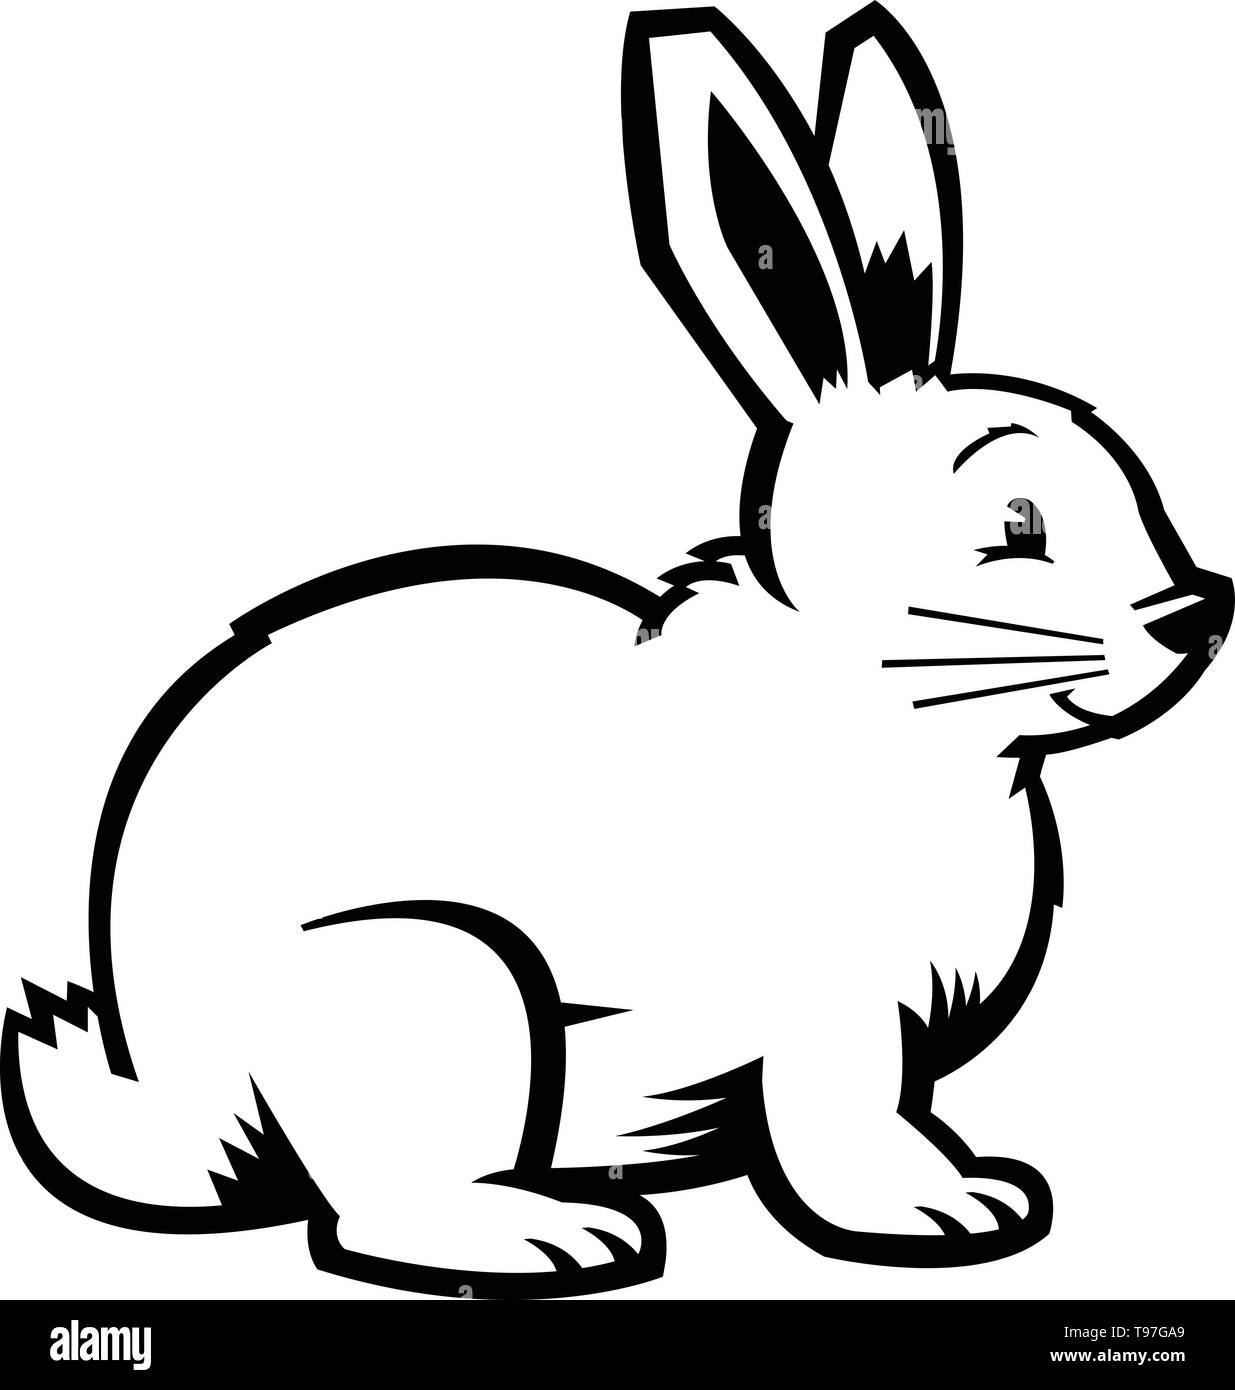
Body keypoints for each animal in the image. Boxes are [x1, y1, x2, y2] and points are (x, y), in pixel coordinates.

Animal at [4, 4, 1230, 1300]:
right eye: (1015, 524)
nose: (1196, 612)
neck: (876, 708)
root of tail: (197, 1114)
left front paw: (964, 1186)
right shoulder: (830, 1009)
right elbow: (837, 1122)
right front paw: (934, 1212)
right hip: (440, 985)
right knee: (367, 1211)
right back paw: (551, 1234)